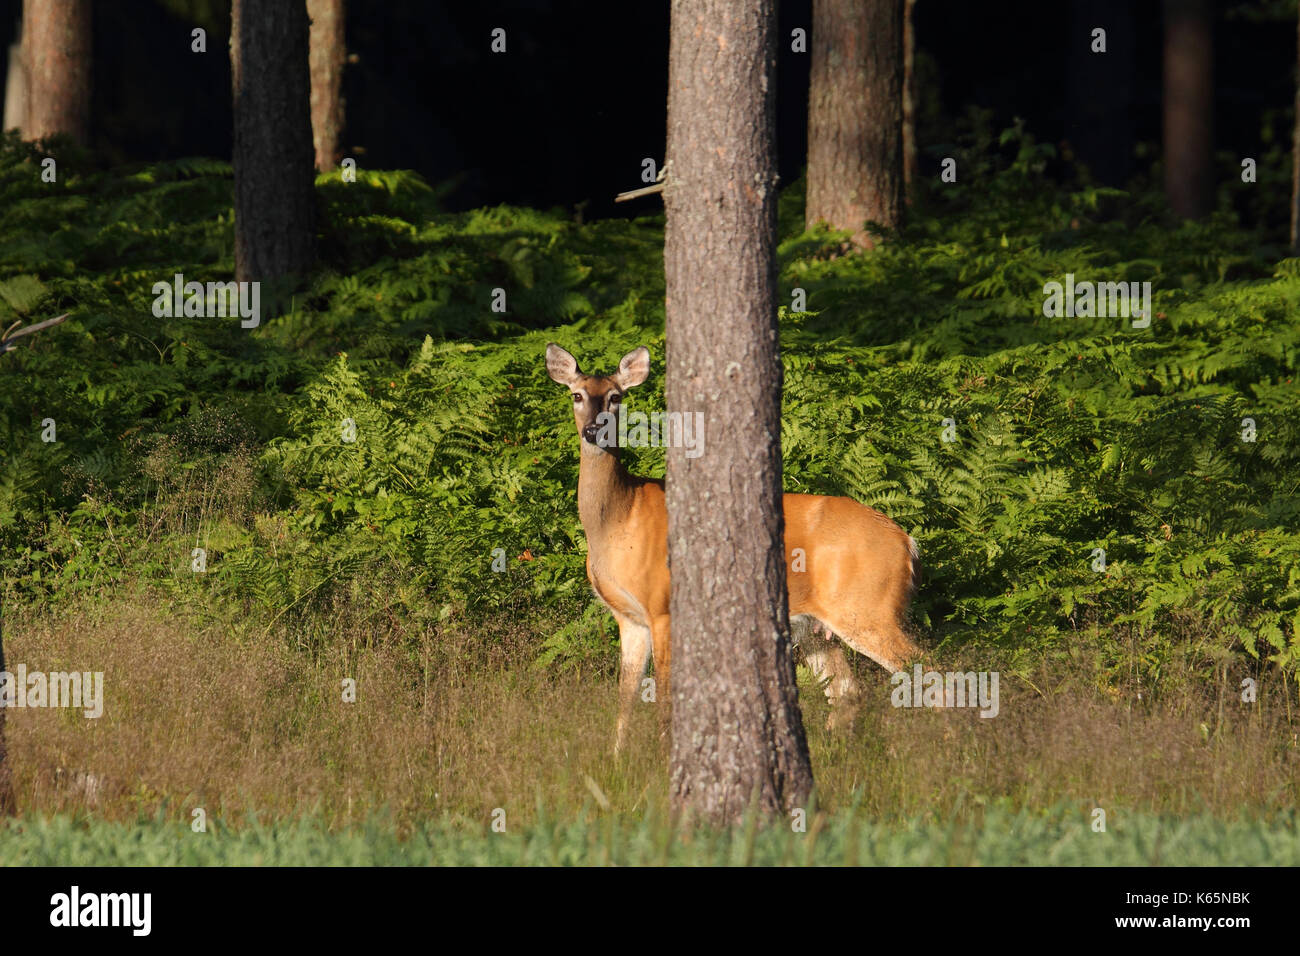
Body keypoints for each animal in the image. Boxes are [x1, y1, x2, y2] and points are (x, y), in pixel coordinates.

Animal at [545, 343, 923, 753]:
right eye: (576, 395)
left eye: (616, 397)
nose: (592, 431)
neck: (618, 521)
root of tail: (906, 542)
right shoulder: (629, 617)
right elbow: (626, 696)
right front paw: (617, 759)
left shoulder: (663, 607)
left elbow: (664, 693)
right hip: (820, 626)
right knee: (848, 690)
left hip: (868, 607)